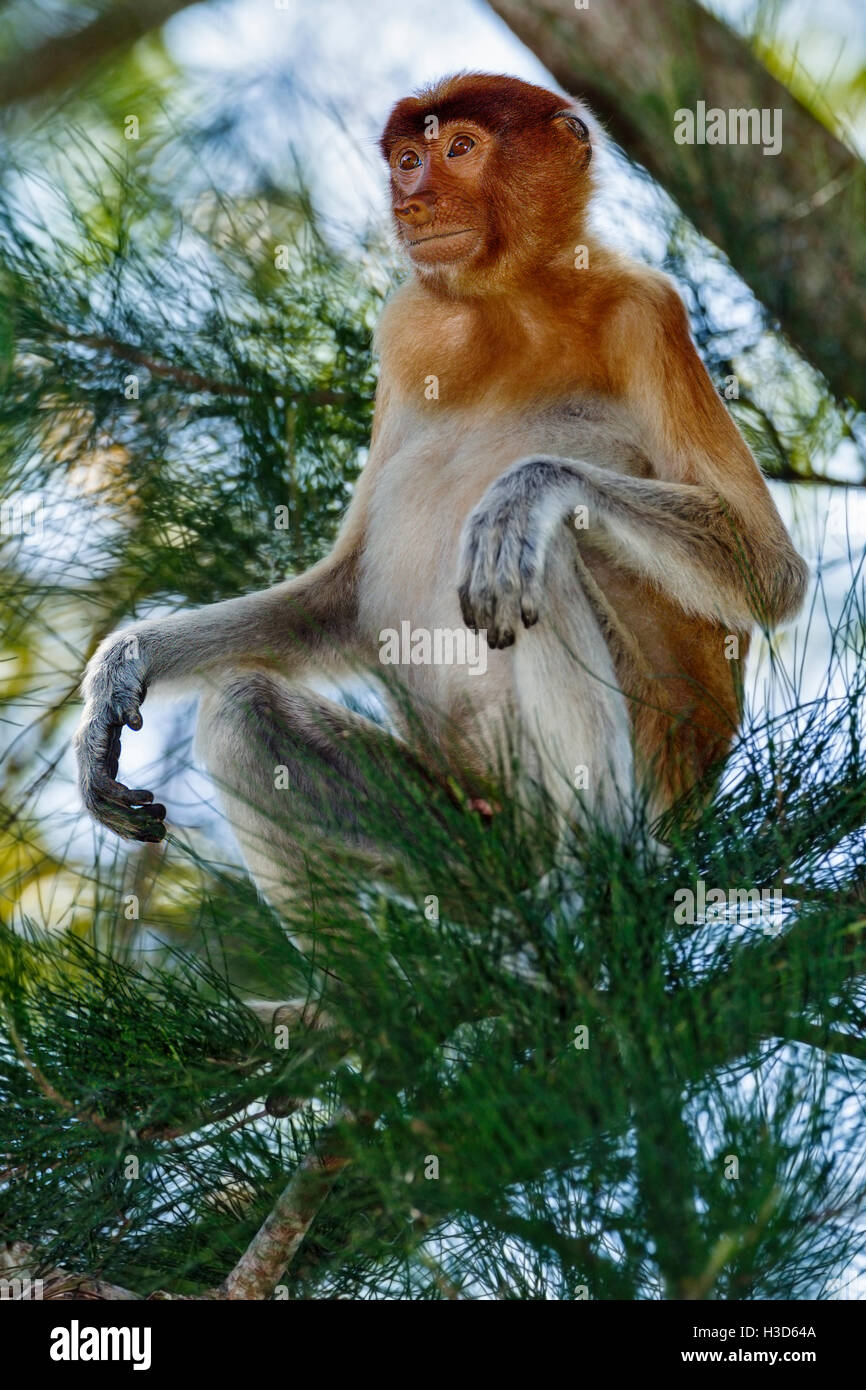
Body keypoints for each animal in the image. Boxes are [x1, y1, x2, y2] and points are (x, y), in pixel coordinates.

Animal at [75, 73, 807, 962]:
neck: (508, 309)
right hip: (465, 832)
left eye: (459, 148)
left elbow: (770, 573)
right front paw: (119, 673)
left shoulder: (646, 312)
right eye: (405, 159)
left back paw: (593, 877)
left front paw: (524, 493)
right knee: (244, 711)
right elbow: (342, 594)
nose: (413, 203)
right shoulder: (406, 328)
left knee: (538, 565)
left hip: (653, 754)